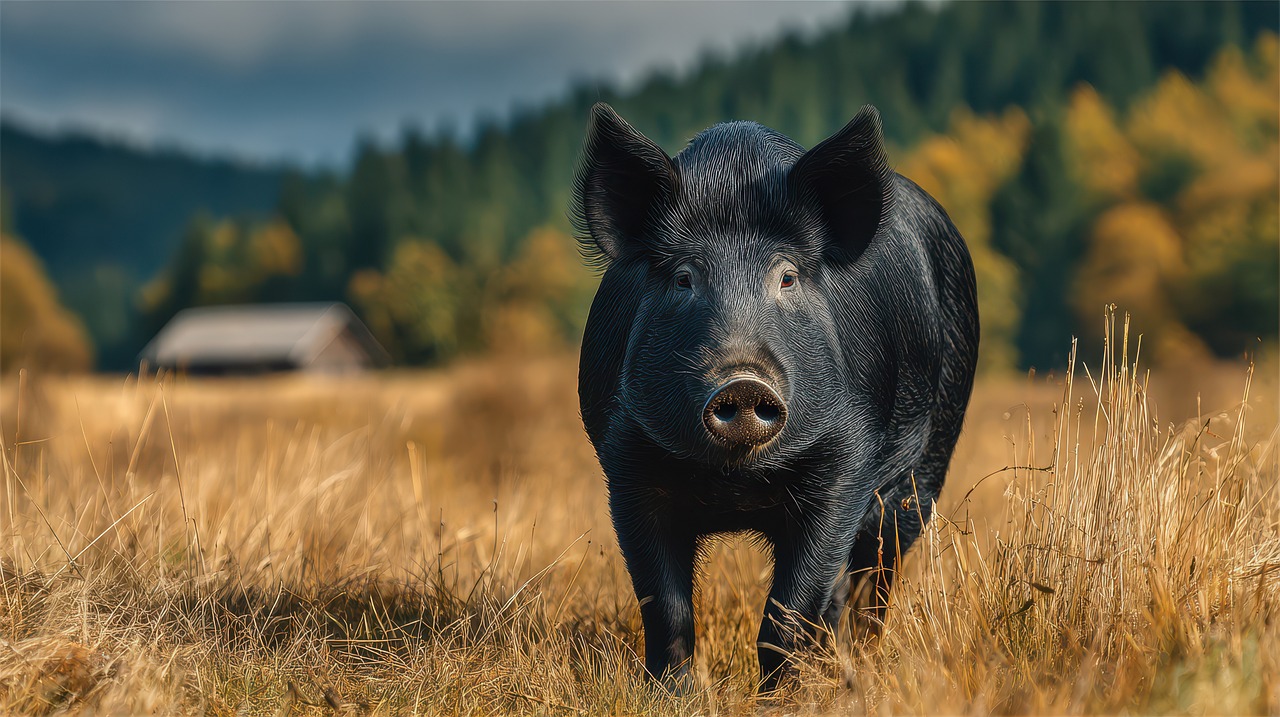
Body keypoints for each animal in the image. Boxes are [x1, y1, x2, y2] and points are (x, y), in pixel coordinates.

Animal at [572, 102, 979, 692]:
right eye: (683, 278)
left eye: (786, 277)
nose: (742, 381)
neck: (734, 483)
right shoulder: (626, 460)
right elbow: (665, 607)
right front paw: (673, 696)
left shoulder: (845, 465)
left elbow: (789, 610)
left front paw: (781, 697)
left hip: (927, 466)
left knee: (874, 580)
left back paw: (856, 672)